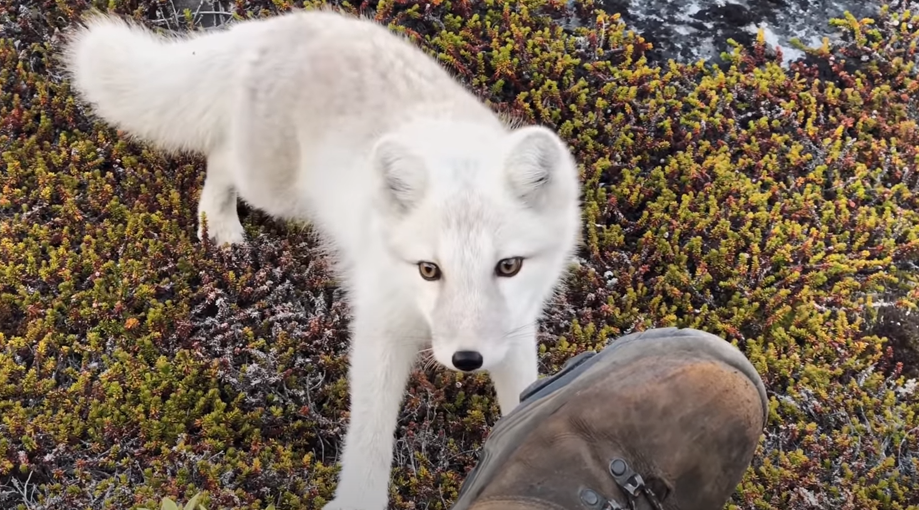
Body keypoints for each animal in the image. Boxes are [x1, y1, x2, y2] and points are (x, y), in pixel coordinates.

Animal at [61, 7, 583, 509]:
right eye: (429, 270)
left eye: (508, 266)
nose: (467, 359)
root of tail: (282, 25)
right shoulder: (379, 330)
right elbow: (370, 435)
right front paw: (359, 500)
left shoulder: (516, 328)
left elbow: (521, 396)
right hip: (273, 191)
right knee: (220, 156)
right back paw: (220, 226)